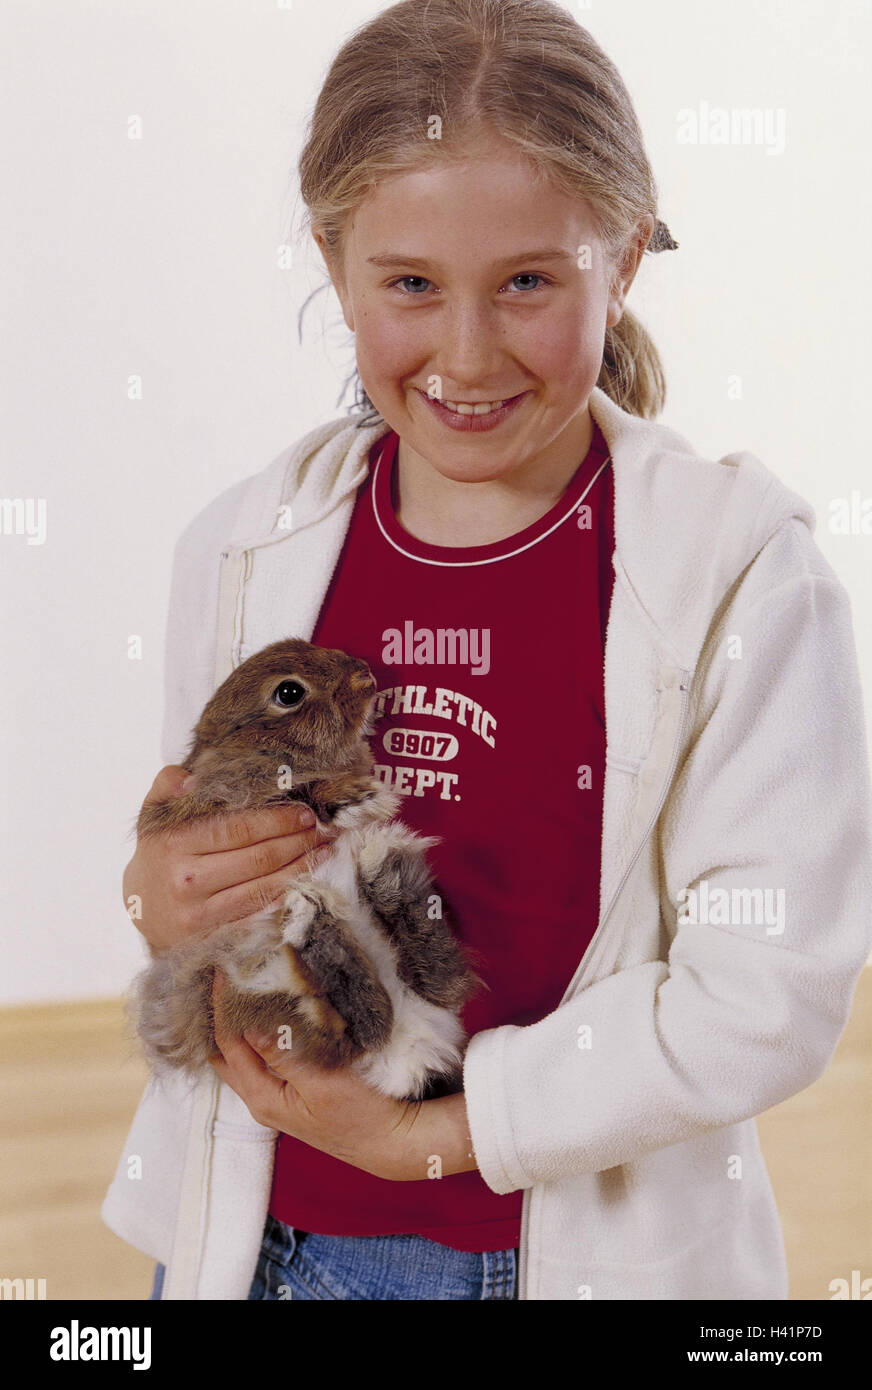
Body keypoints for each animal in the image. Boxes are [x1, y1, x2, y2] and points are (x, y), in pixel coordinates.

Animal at [128, 638, 483, 1102]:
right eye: (289, 693)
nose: (364, 674)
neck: (256, 746)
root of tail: (410, 1055)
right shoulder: (229, 797)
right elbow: (295, 792)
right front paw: (357, 797)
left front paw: (364, 803)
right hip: (258, 997)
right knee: (363, 1027)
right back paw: (318, 912)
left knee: (436, 984)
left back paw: (376, 868)